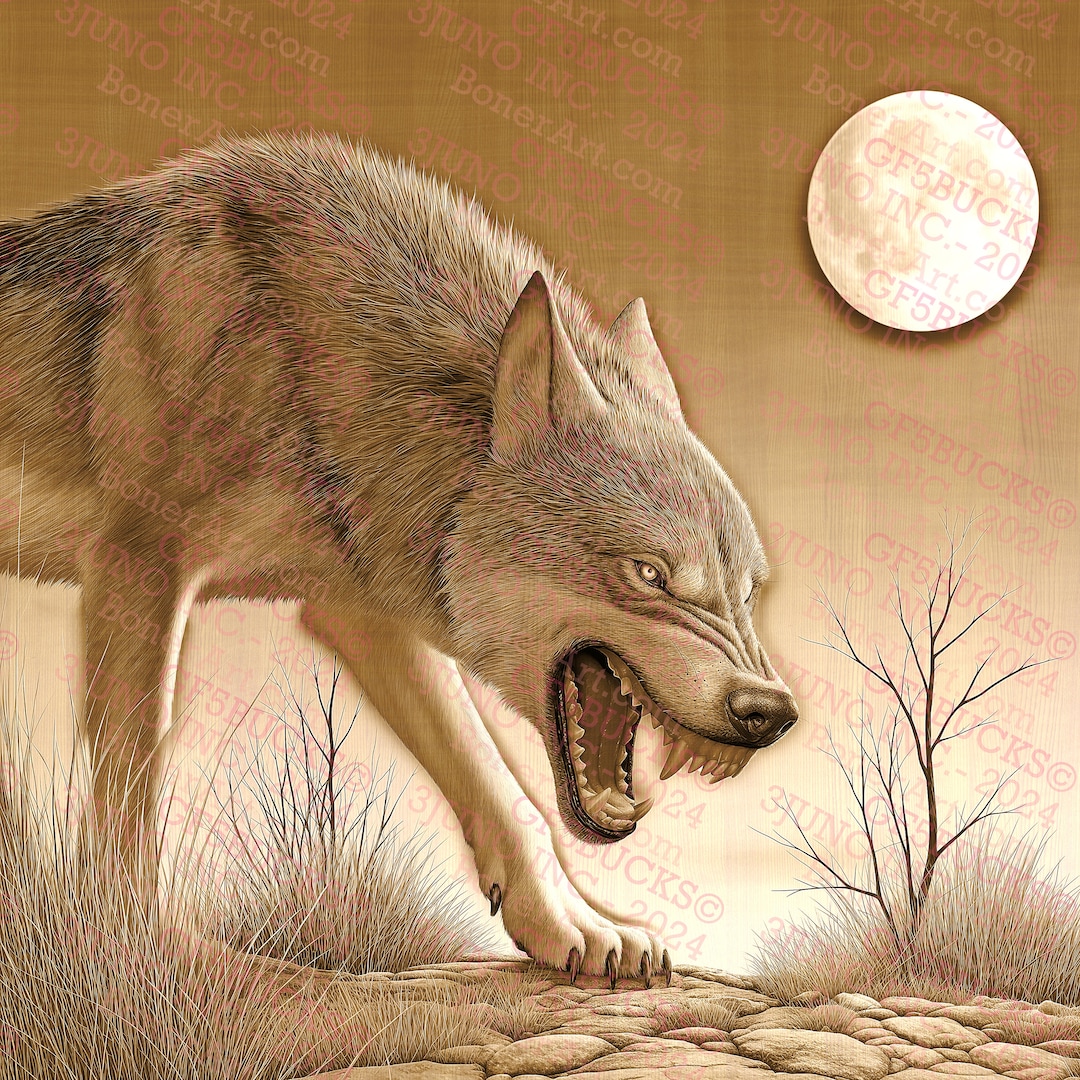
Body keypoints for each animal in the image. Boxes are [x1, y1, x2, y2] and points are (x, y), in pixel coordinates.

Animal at [0, 131, 797, 983]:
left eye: (749, 593)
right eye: (649, 575)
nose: (772, 712)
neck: (303, 348)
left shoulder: (362, 613)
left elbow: (502, 788)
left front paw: (576, 925)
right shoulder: (138, 561)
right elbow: (134, 767)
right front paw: (148, 950)